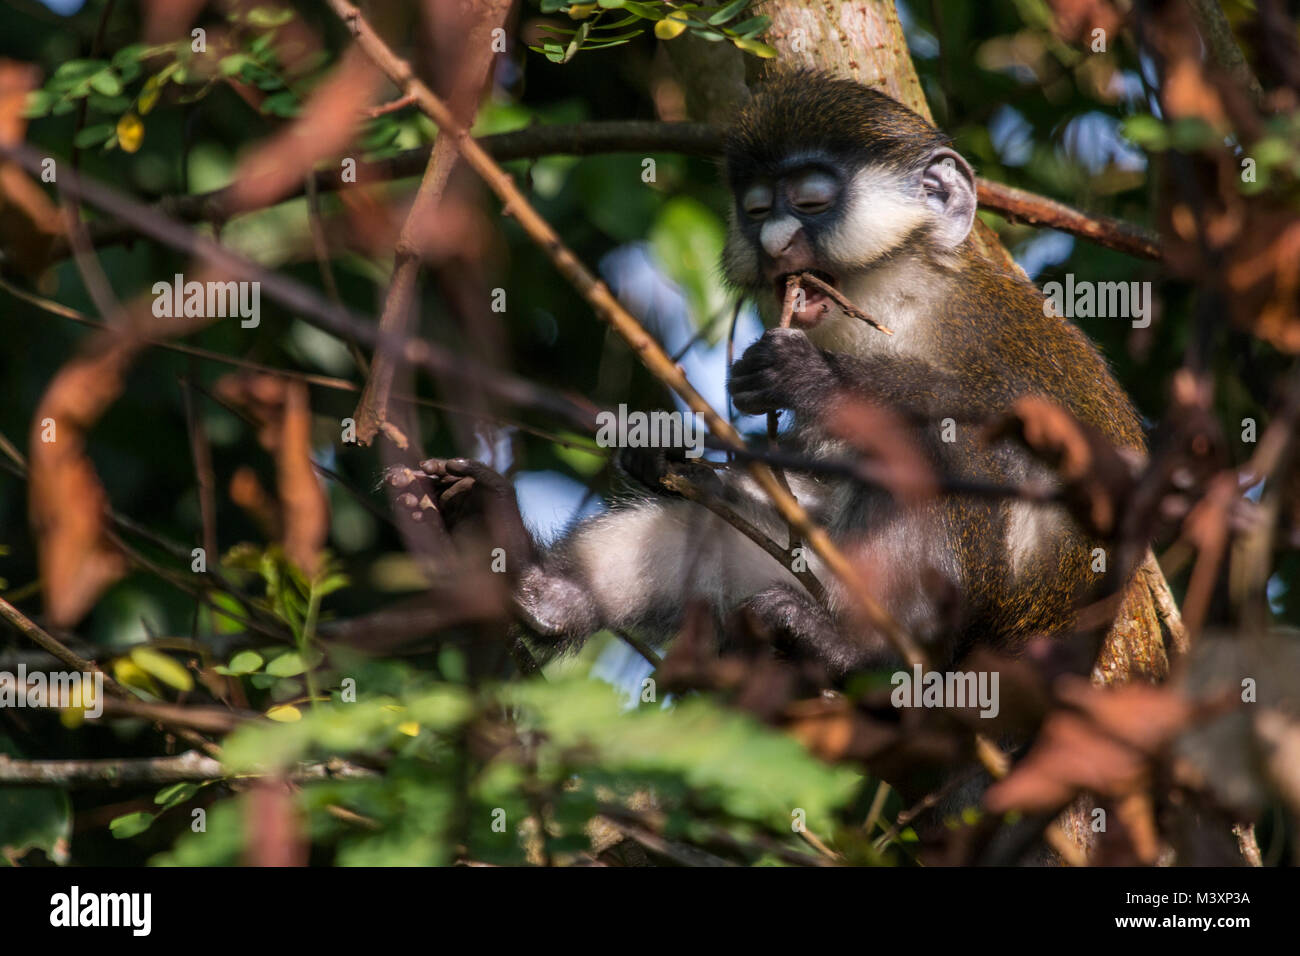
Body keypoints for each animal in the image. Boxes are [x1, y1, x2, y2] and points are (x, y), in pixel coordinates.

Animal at [416, 71, 1145, 680]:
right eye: (758, 211)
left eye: (812, 201)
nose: (772, 246)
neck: (898, 306)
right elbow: (800, 485)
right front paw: (663, 453)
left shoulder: (990, 331)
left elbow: (1052, 468)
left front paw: (817, 379)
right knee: (717, 530)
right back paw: (538, 586)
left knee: (948, 470)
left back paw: (858, 647)